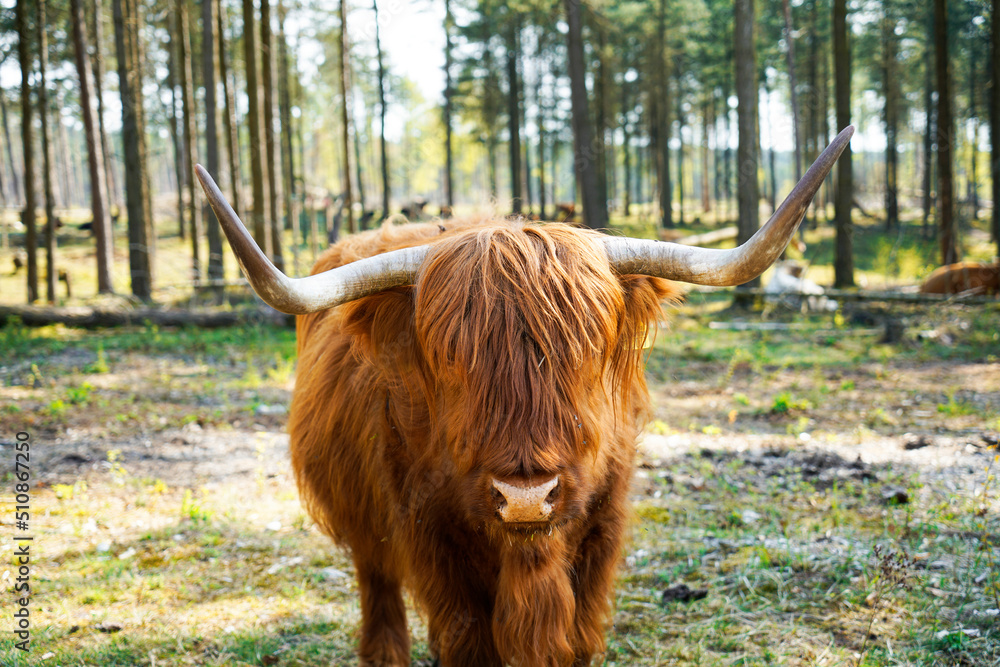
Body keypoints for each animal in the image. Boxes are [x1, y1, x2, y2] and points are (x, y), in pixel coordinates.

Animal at [196, 126, 853, 667]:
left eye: (587, 352)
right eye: (450, 361)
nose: (526, 499)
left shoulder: (599, 534)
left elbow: (578, 640)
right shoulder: (432, 546)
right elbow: (467, 643)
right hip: (364, 524)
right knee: (378, 593)